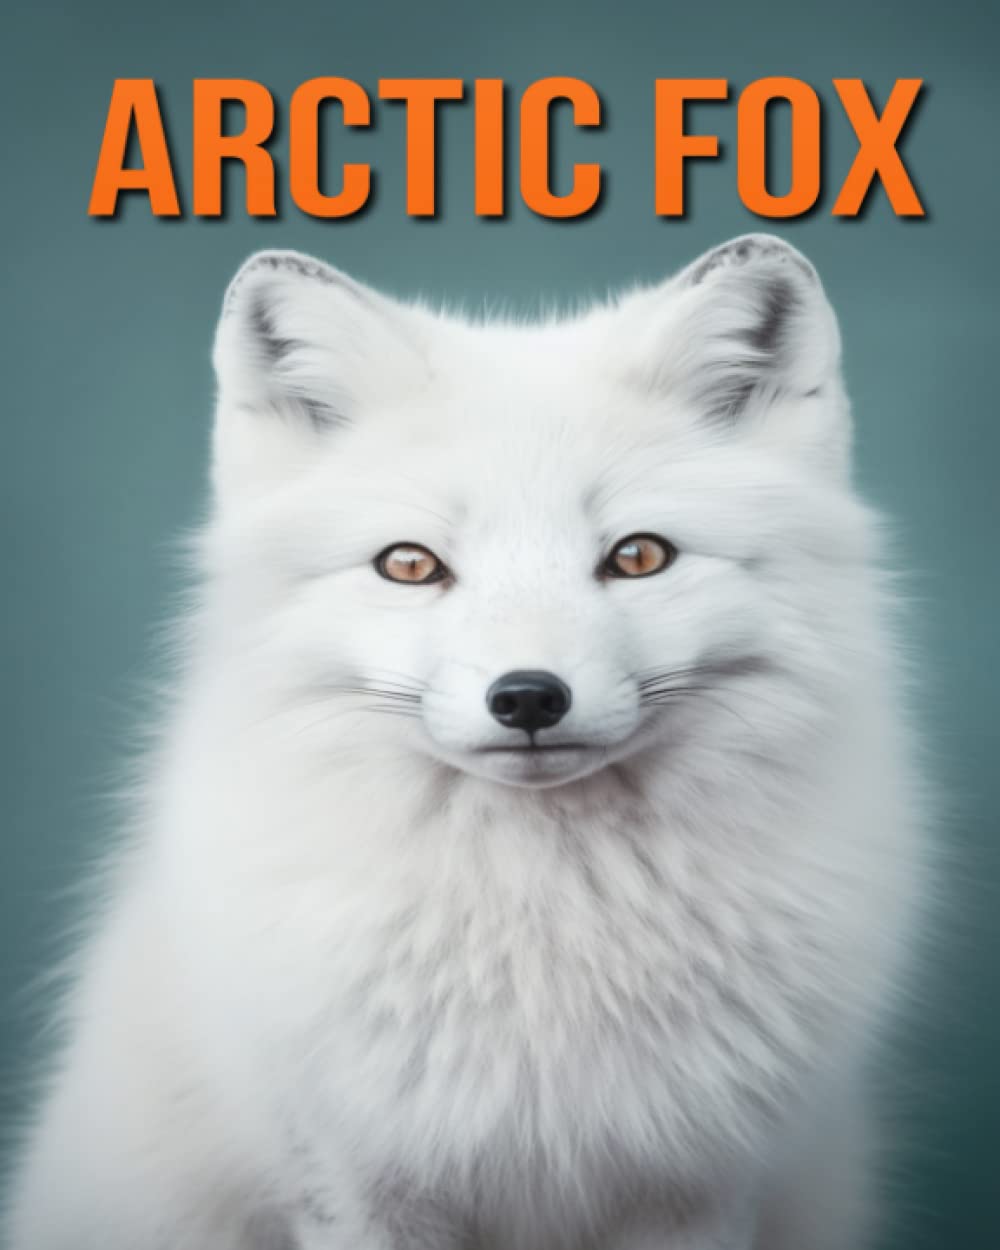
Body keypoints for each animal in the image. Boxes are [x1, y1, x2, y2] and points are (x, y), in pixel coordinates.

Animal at [4, 235, 925, 1249]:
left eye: (639, 556)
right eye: (410, 565)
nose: (527, 697)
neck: (546, 931)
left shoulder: (692, 1187)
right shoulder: (354, 1180)